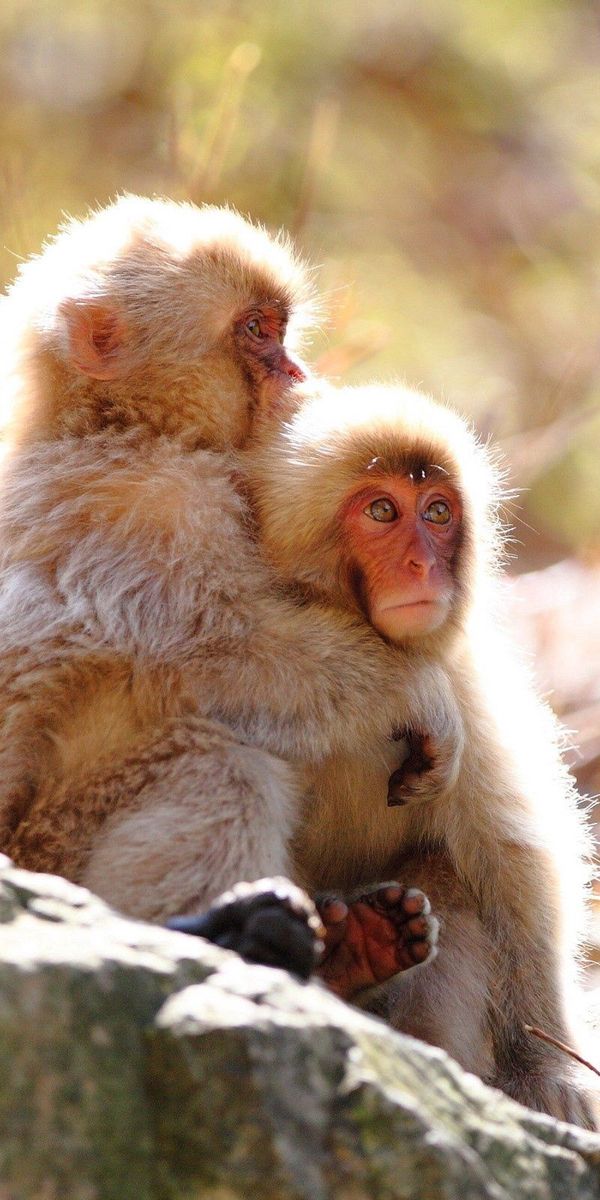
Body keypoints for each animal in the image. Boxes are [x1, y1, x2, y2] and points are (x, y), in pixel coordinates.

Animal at [0, 196, 454, 980]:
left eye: (278, 329)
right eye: (256, 333)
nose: (295, 370)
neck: (118, 426)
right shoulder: (154, 508)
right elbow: (220, 657)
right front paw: (422, 693)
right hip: (48, 844)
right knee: (221, 764)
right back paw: (239, 935)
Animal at [235, 378, 595, 1128]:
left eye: (437, 512)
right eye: (382, 510)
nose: (423, 566)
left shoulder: (462, 686)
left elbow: (512, 859)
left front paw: (548, 1068)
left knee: (450, 874)